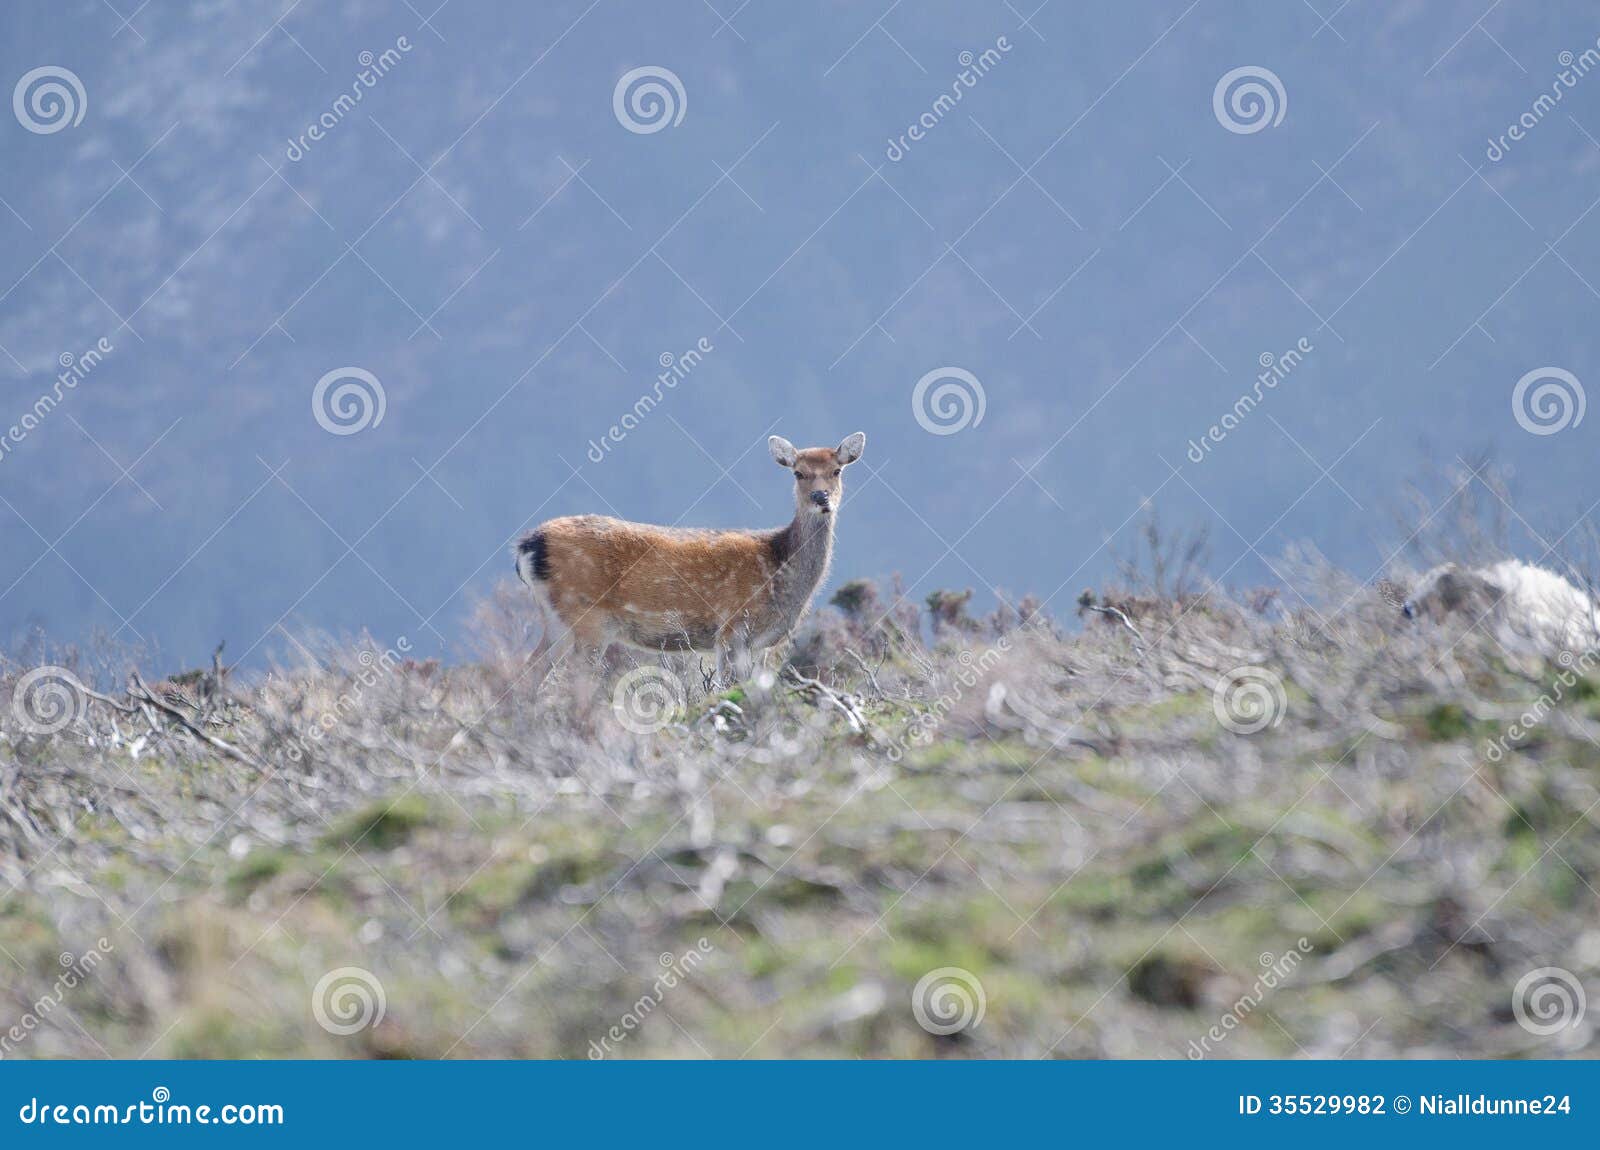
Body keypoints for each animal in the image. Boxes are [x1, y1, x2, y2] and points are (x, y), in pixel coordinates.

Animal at [515, 432, 866, 682]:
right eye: (799, 473)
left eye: (837, 470)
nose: (821, 498)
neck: (780, 568)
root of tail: (527, 545)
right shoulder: (732, 627)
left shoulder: (760, 643)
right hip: (587, 616)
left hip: (558, 621)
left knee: (529, 673)